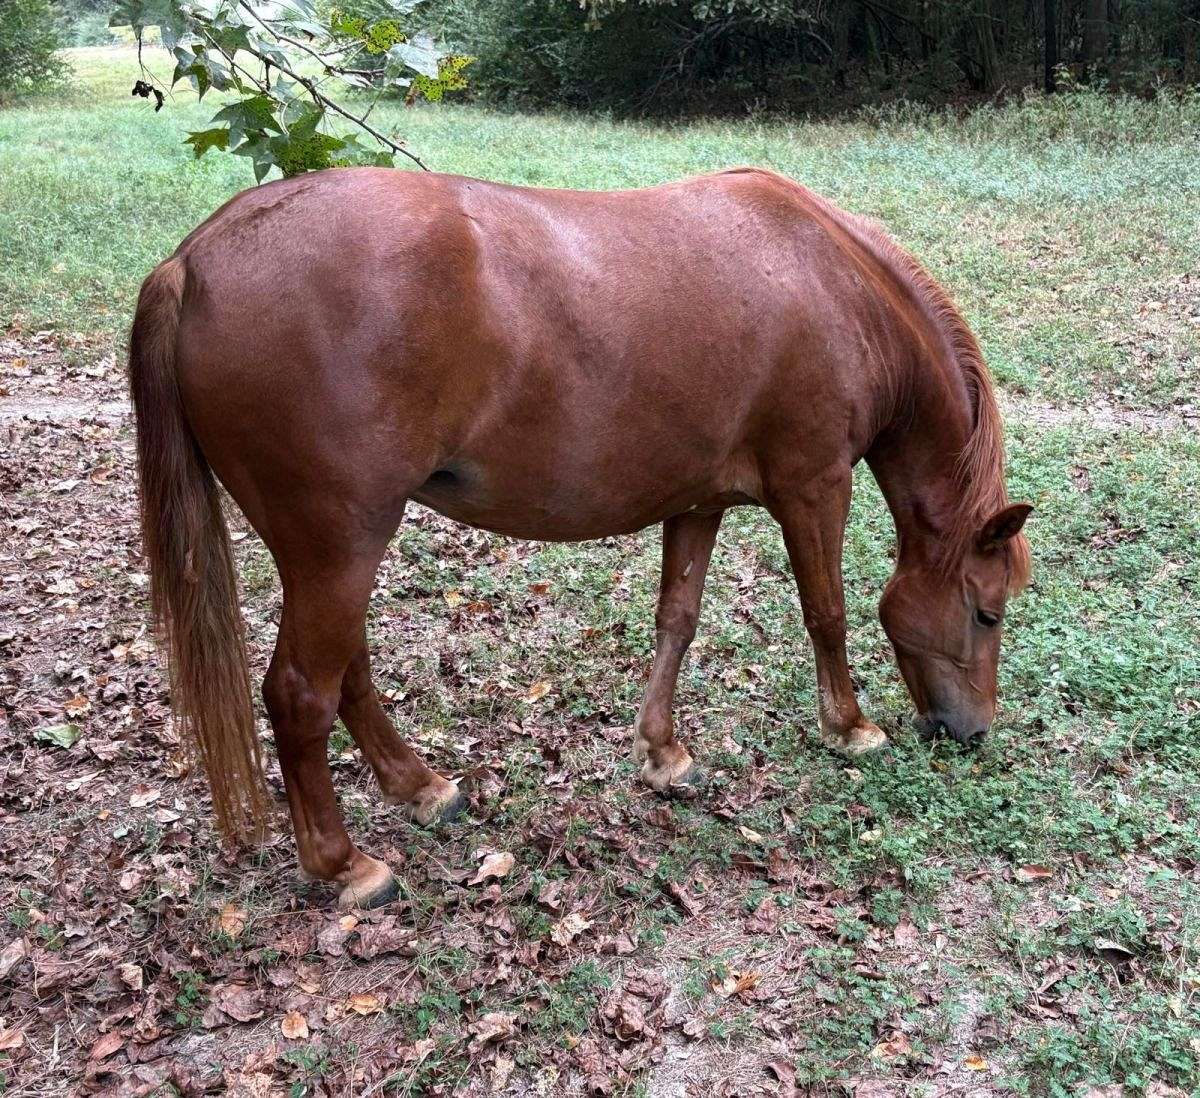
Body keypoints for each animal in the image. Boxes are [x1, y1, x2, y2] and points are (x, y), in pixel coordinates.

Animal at [129, 166, 1031, 909]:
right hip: (340, 547)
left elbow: (678, 621)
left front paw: (663, 752)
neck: (831, 281)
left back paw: (421, 788)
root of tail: (193, 262)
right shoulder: (814, 488)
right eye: (987, 613)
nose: (974, 733)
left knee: (345, 674)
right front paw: (850, 730)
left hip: (328, 555)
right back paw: (346, 865)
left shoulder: (697, 500)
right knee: (300, 694)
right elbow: (828, 615)